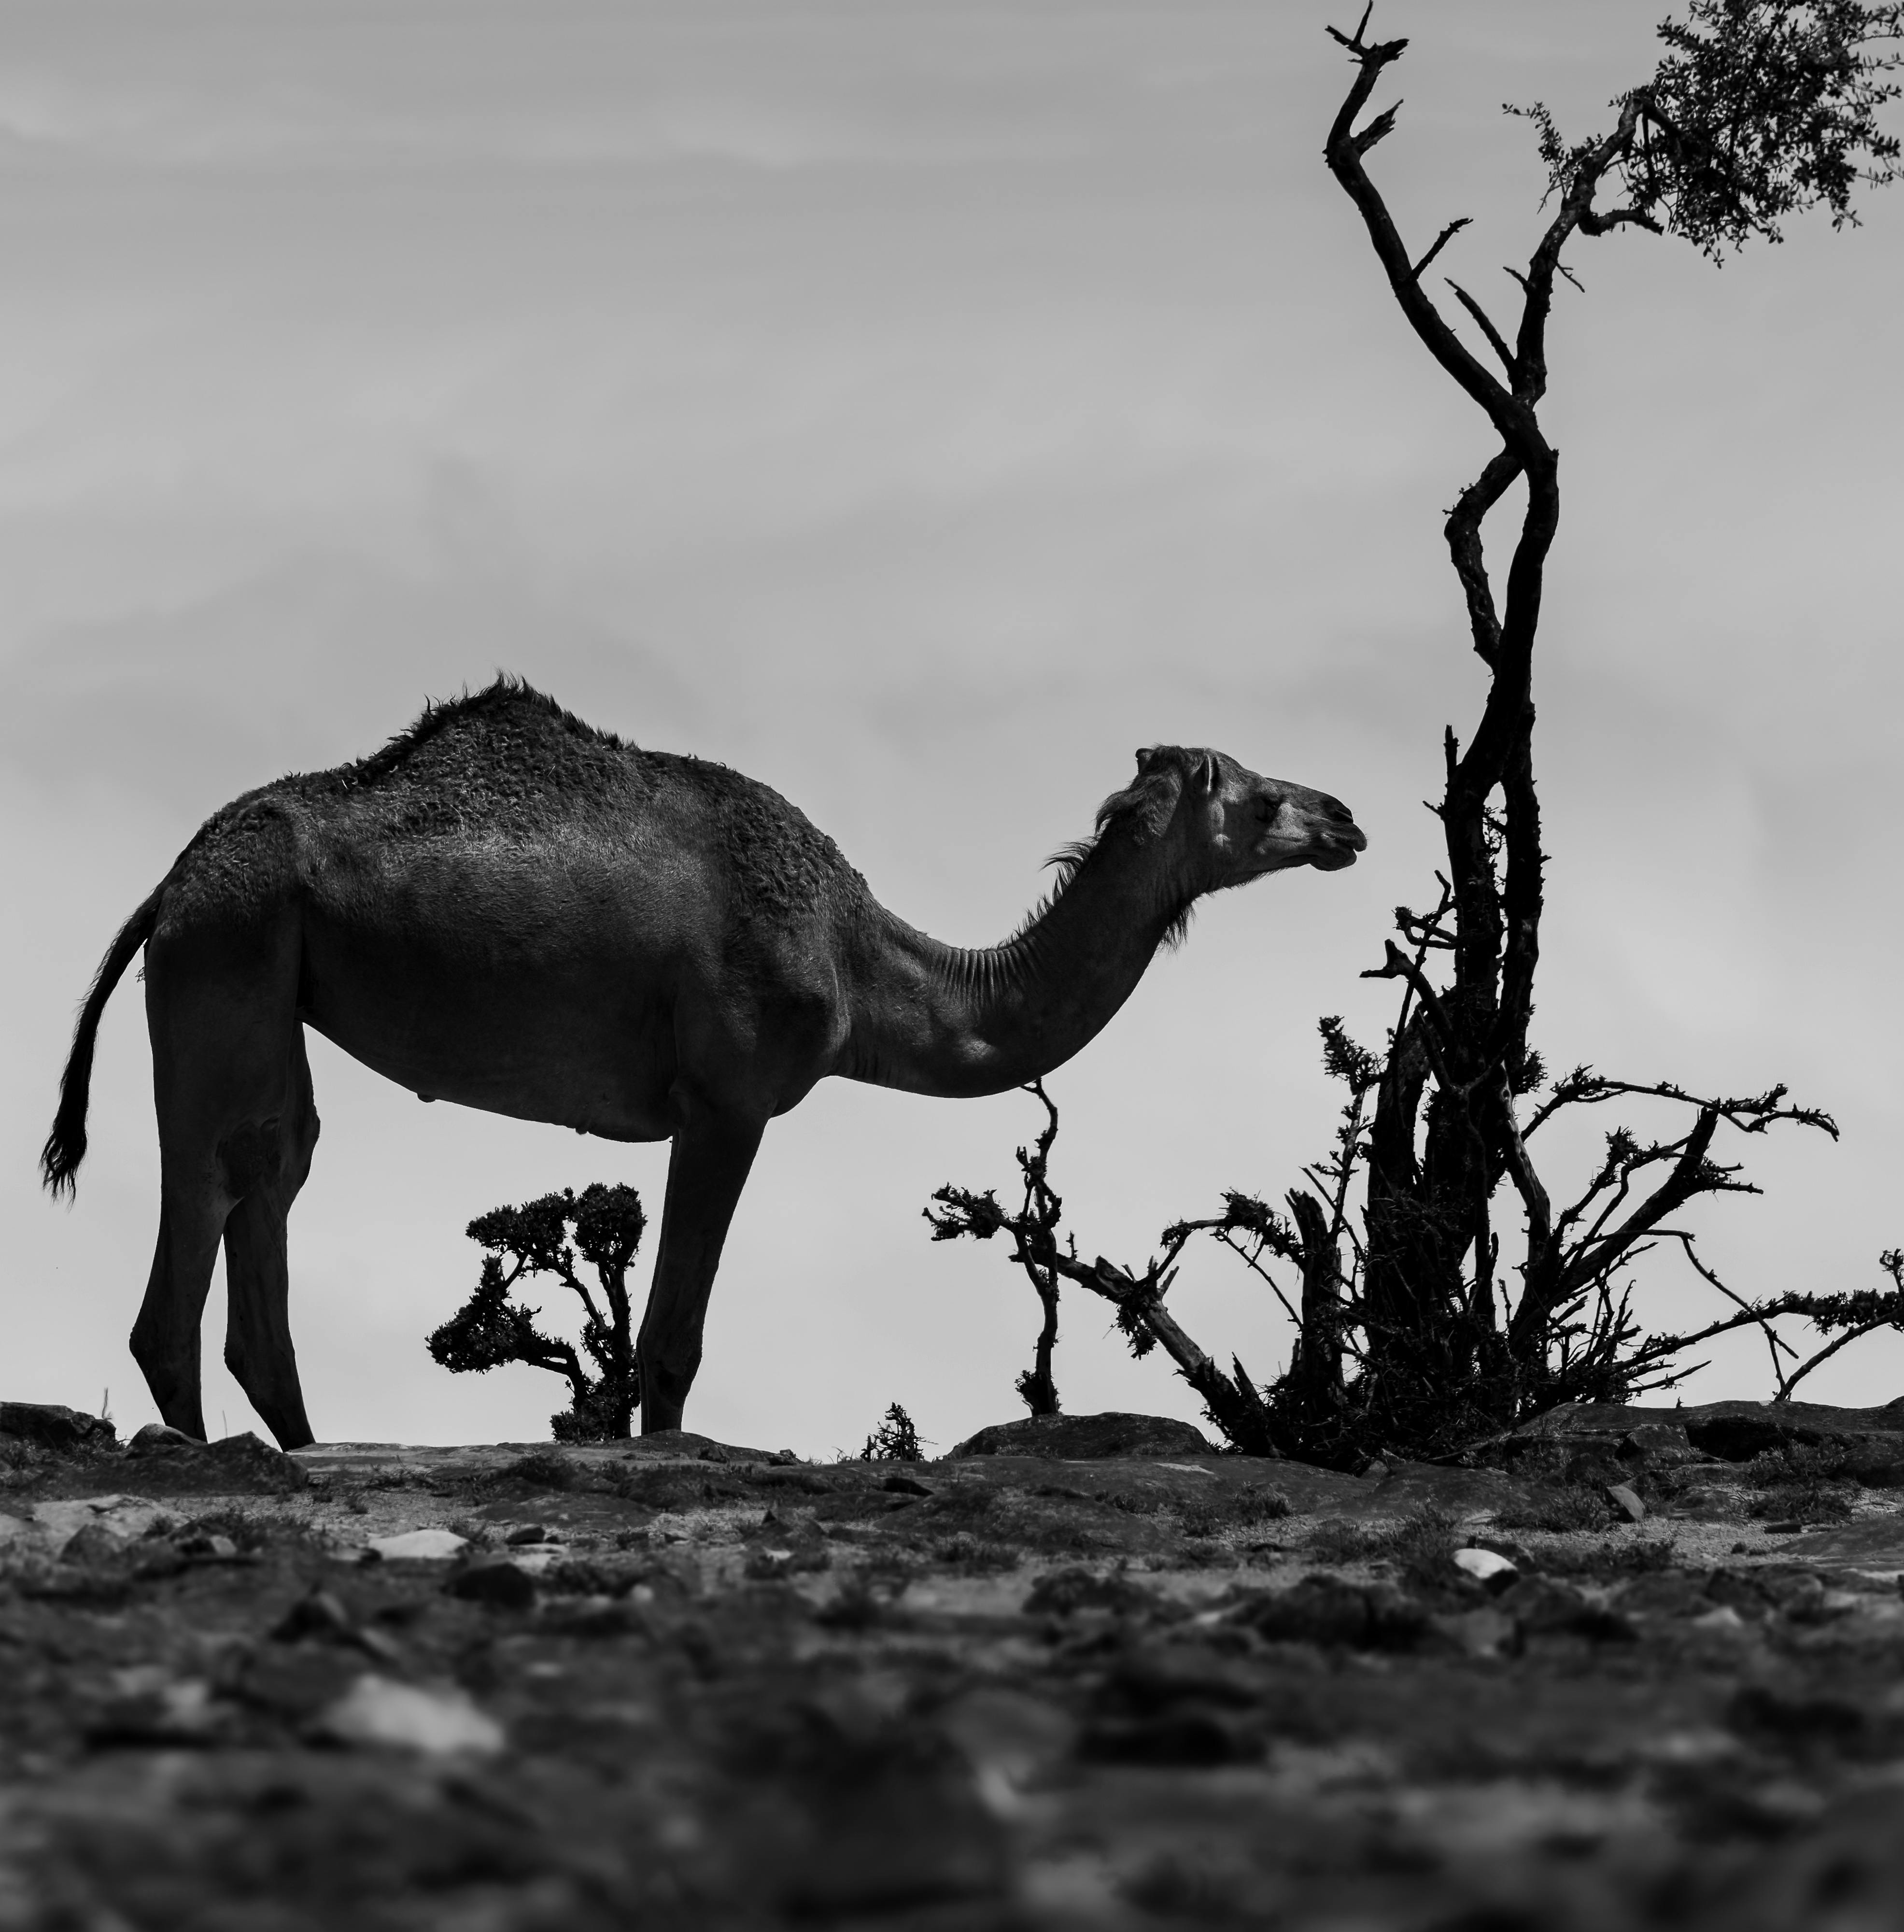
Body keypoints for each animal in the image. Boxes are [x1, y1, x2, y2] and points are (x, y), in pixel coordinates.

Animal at [42, 679, 1366, 1448]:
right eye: (1255, 797)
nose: (1346, 817)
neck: (863, 961)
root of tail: (171, 879)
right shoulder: (730, 1097)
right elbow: (672, 1335)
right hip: (225, 958)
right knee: (213, 1191)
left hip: (264, 978)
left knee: (272, 1175)